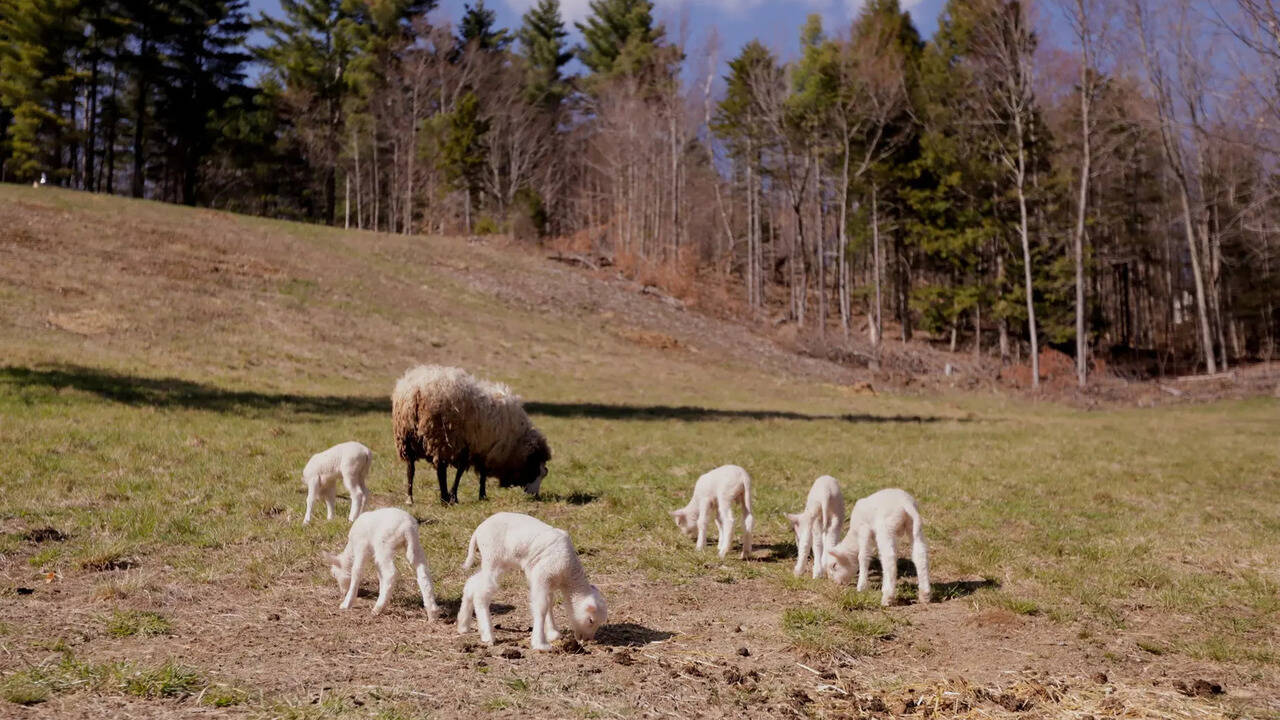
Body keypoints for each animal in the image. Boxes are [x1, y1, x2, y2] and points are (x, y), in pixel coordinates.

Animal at [392, 365, 551, 505]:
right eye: (536, 471)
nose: (536, 496)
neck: (516, 443)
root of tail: (415, 390)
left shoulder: (477, 449)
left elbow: (478, 474)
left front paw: (479, 495)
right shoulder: (480, 449)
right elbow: (468, 473)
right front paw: (457, 496)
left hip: (406, 439)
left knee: (410, 470)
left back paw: (409, 499)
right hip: (440, 438)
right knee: (441, 470)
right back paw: (444, 499)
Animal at [457, 512, 606, 651]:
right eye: (591, 620)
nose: (587, 639)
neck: (568, 576)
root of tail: (478, 530)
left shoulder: (548, 582)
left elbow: (549, 603)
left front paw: (552, 633)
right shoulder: (542, 576)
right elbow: (542, 606)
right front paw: (541, 643)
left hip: (499, 563)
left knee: (472, 584)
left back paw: (463, 625)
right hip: (492, 557)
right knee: (482, 594)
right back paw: (488, 635)